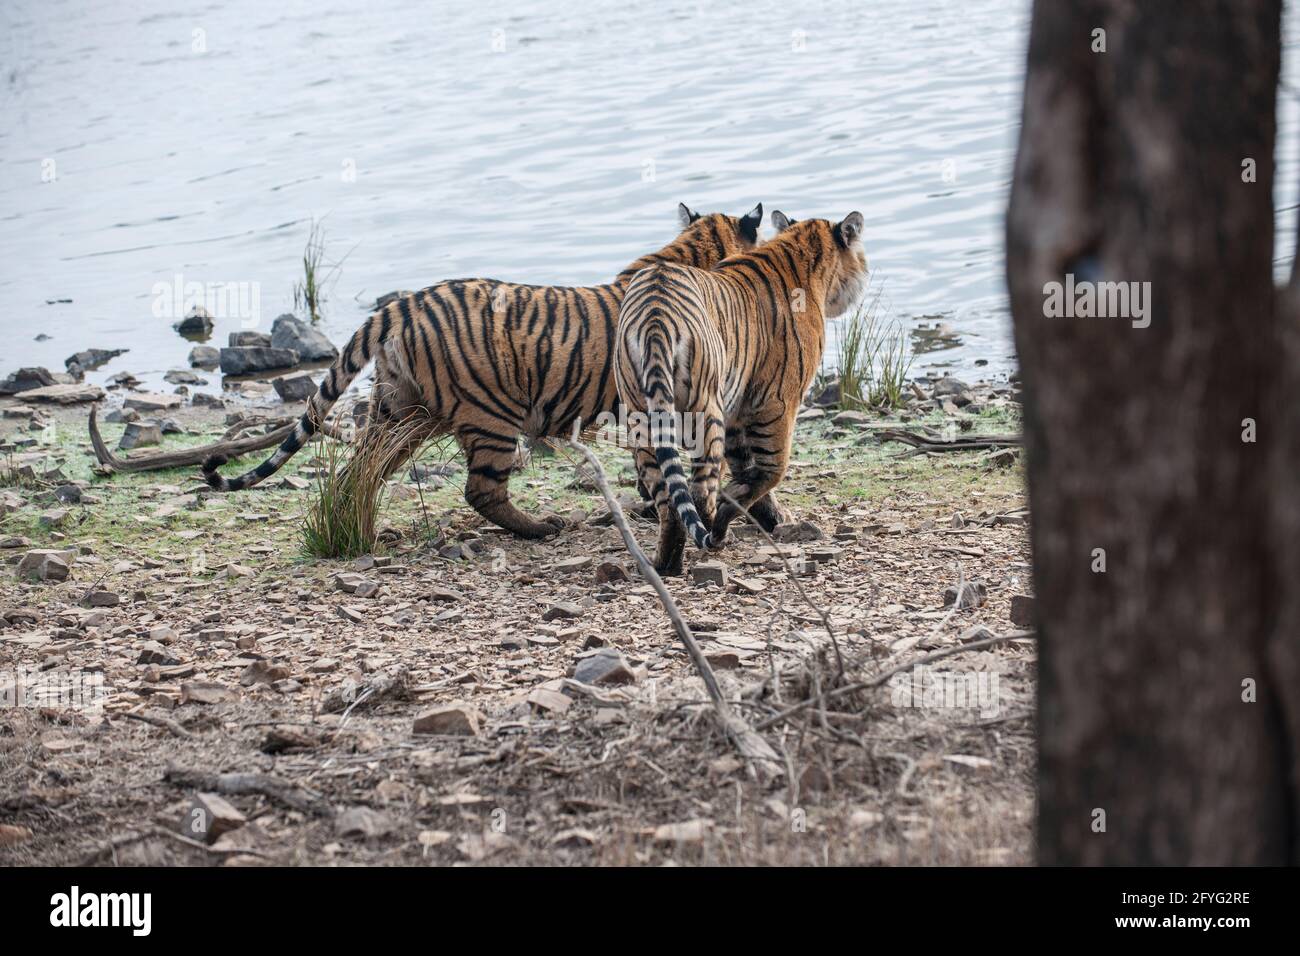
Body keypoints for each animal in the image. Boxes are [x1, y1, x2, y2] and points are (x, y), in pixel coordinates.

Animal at [202, 203, 770, 539]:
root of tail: (400, 305)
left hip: (398, 411)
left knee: (359, 471)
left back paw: (359, 530)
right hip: (489, 414)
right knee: (482, 491)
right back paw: (541, 527)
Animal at [613, 209, 868, 575]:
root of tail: (654, 315)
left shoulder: (737, 409)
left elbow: (745, 466)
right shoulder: (777, 401)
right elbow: (769, 470)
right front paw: (742, 509)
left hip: (642, 415)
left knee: (668, 501)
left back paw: (666, 563)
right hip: (705, 410)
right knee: (699, 489)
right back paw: (715, 537)